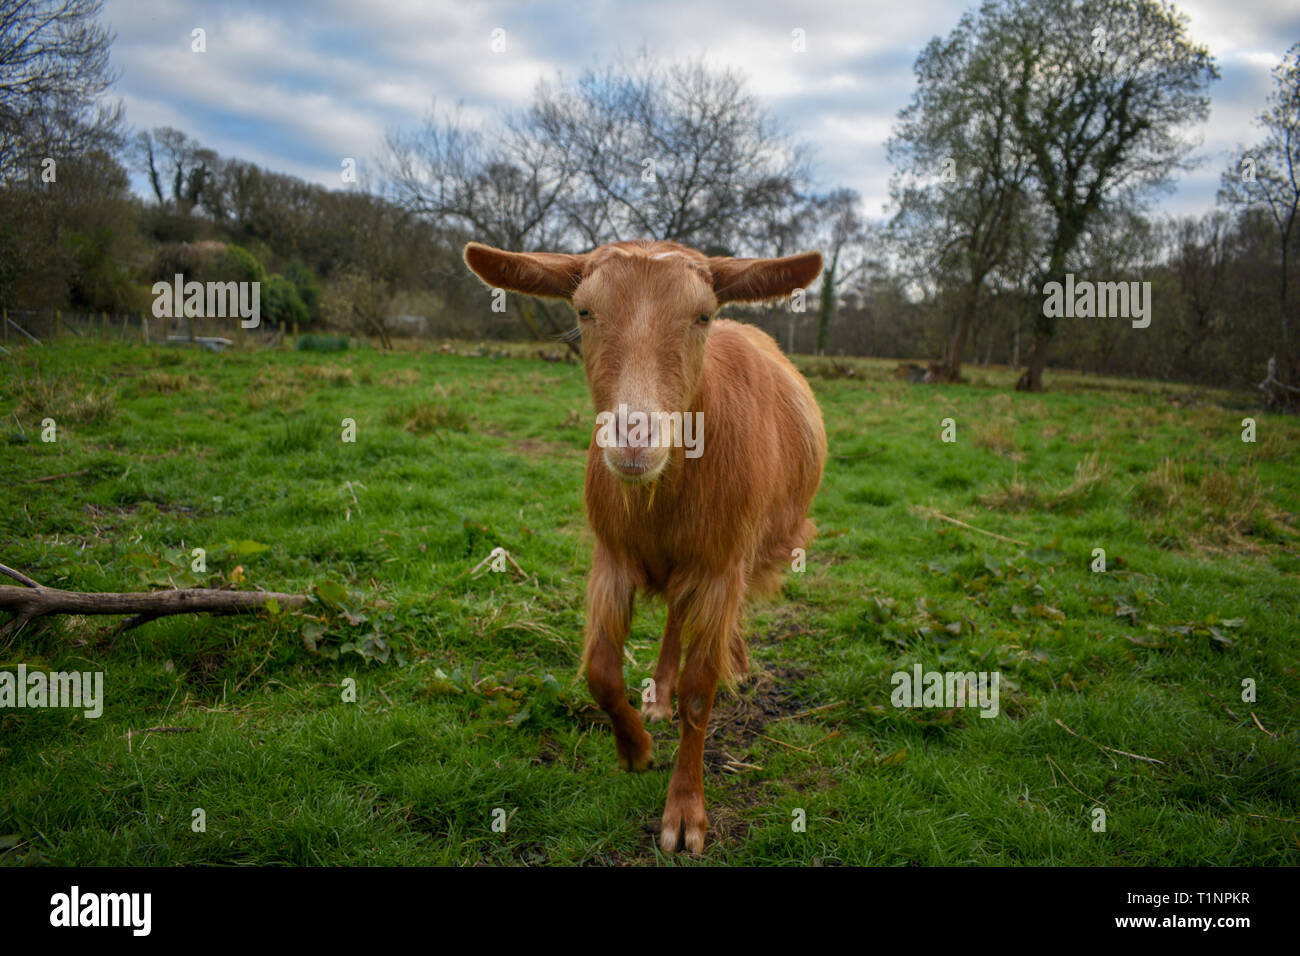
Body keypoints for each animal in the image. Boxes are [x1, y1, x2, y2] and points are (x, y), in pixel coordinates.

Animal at [464, 239, 827, 853]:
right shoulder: (610, 557)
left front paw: (685, 813)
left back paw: (734, 659)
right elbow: (601, 671)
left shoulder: (720, 564)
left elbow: (700, 692)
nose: (634, 439)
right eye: (584, 310)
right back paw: (657, 694)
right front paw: (636, 750)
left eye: (702, 315)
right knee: (676, 618)